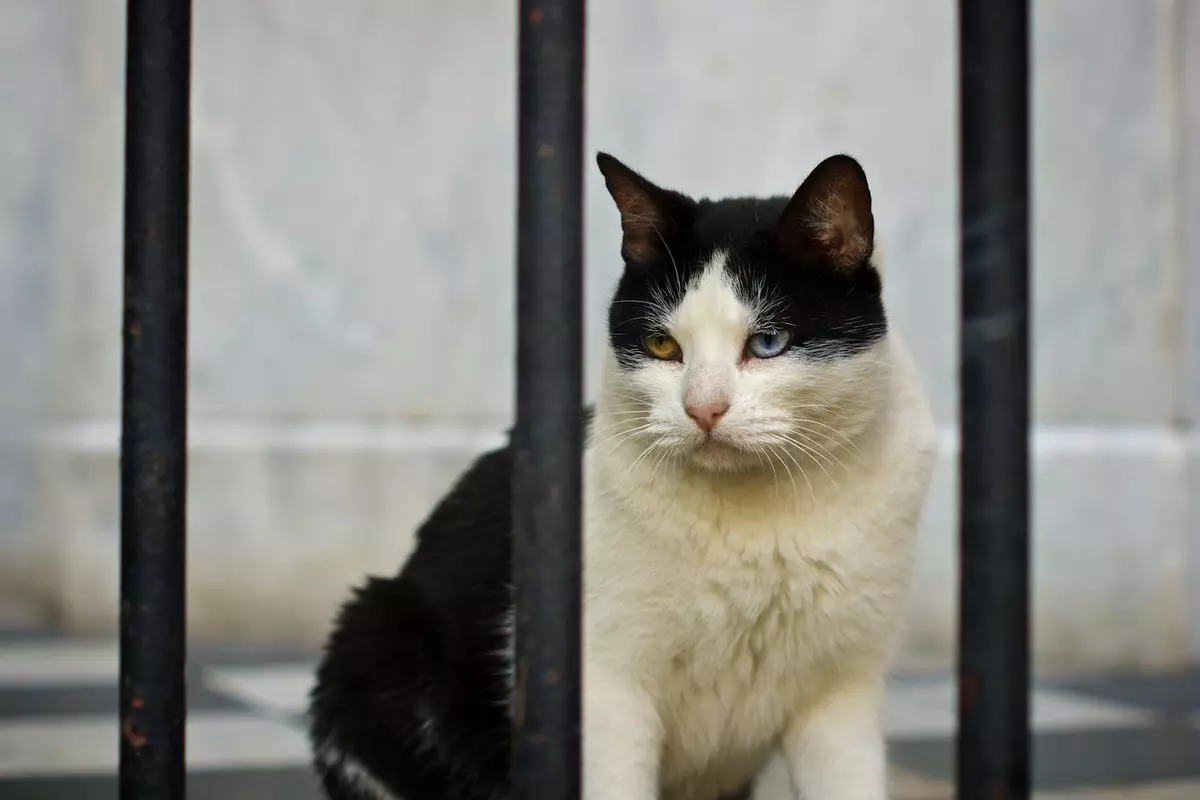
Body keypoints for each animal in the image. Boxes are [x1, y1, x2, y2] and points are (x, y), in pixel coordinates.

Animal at [307, 151, 936, 800]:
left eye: (768, 342)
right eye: (661, 345)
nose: (703, 409)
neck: (760, 524)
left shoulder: (842, 695)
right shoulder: (607, 692)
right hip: (375, 627)